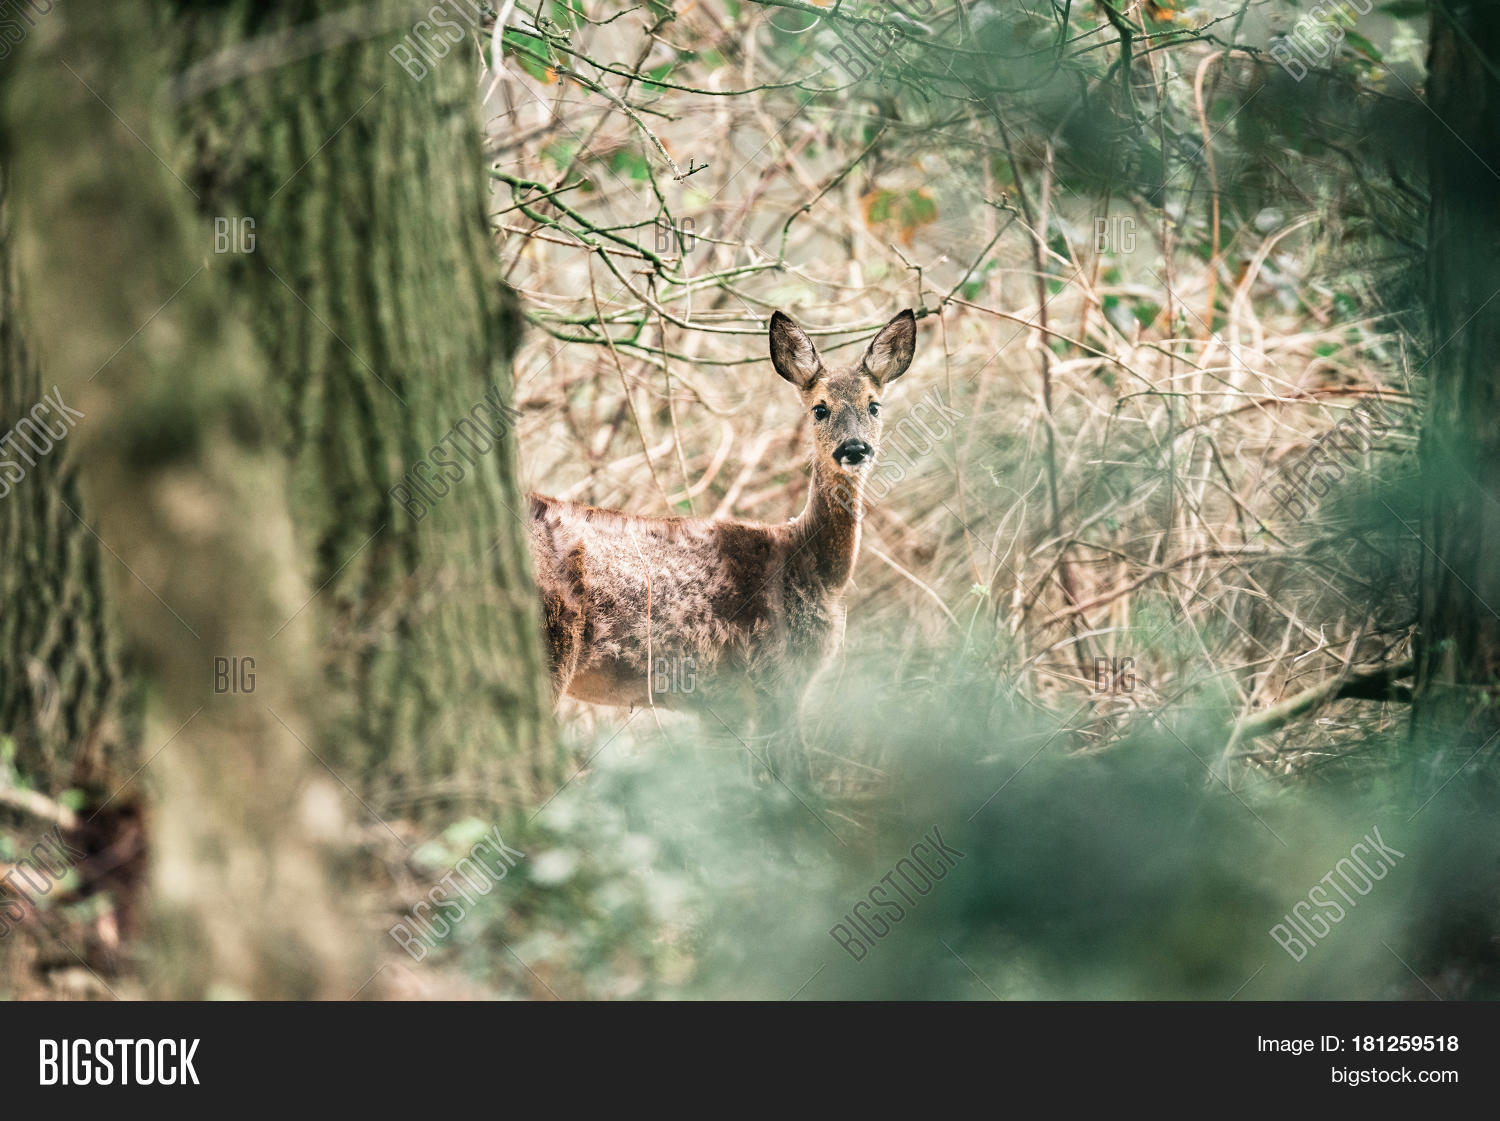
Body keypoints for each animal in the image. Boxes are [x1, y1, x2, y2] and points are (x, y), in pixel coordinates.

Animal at [528, 308, 918, 781]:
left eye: (874, 405)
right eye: (819, 408)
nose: (855, 448)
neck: (815, 568)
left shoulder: (719, 704)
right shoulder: (775, 678)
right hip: (551, 646)